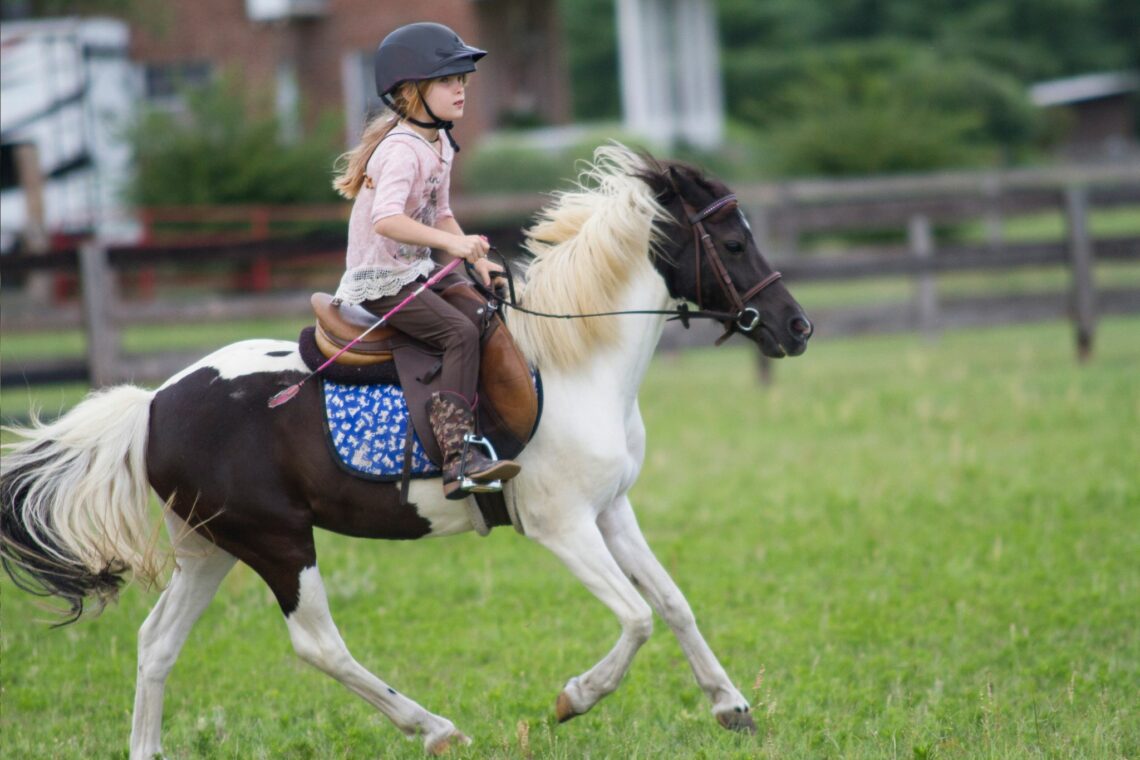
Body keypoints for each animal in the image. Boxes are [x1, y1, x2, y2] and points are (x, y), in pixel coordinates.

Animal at [1, 145, 812, 757]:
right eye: (733, 243)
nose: (796, 327)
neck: (574, 365)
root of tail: (153, 405)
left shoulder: (612, 511)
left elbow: (672, 603)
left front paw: (731, 707)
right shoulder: (562, 526)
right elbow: (637, 618)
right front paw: (573, 698)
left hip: (211, 545)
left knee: (156, 644)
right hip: (277, 541)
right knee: (317, 645)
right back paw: (437, 728)